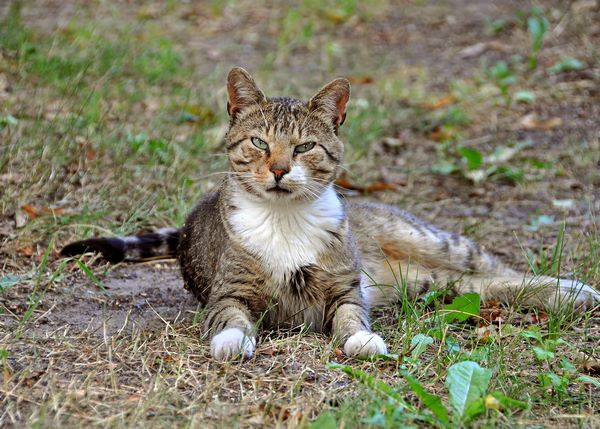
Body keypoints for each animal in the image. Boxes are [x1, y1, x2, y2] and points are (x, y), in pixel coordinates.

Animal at [62, 67, 600, 362]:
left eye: (304, 147)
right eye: (259, 142)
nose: (279, 168)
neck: (284, 219)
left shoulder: (346, 289)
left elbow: (350, 317)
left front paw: (360, 341)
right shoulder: (227, 292)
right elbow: (230, 319)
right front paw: (232, 342)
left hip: (430, 242)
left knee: (497, 270)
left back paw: (571, 290)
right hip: (427, 282)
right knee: (482, 287)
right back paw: (569, 297)